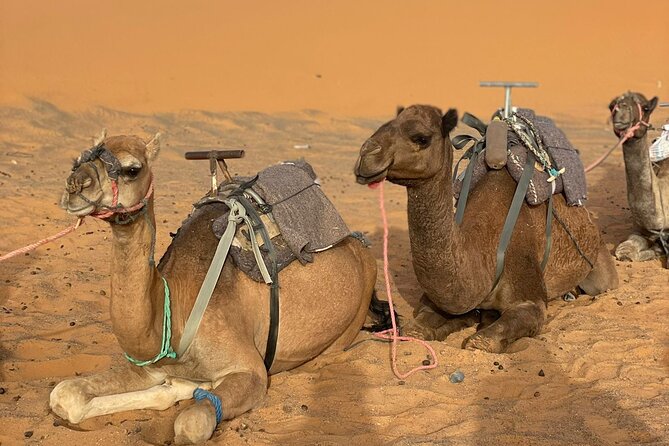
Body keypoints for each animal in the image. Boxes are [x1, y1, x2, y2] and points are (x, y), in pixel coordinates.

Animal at [53, 132, 379, 444]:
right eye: (79, 158)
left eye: (132, 169)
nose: (75, 184)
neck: (177, 306)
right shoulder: (150, 365)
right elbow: (63, 394)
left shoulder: (251, 370)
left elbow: (191, 423)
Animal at [354, 105, 619, 353]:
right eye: (386, 123)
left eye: (421, 138)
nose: (366, 154)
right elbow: (415, 330)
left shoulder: (530, 298)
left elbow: (480, 342)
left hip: (598, 262)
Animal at [608, 92, 668, 263]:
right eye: (611, 106)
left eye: (646, 108)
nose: (621, 109)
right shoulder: (640, 230)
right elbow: (624, 252)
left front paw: (657, 250)